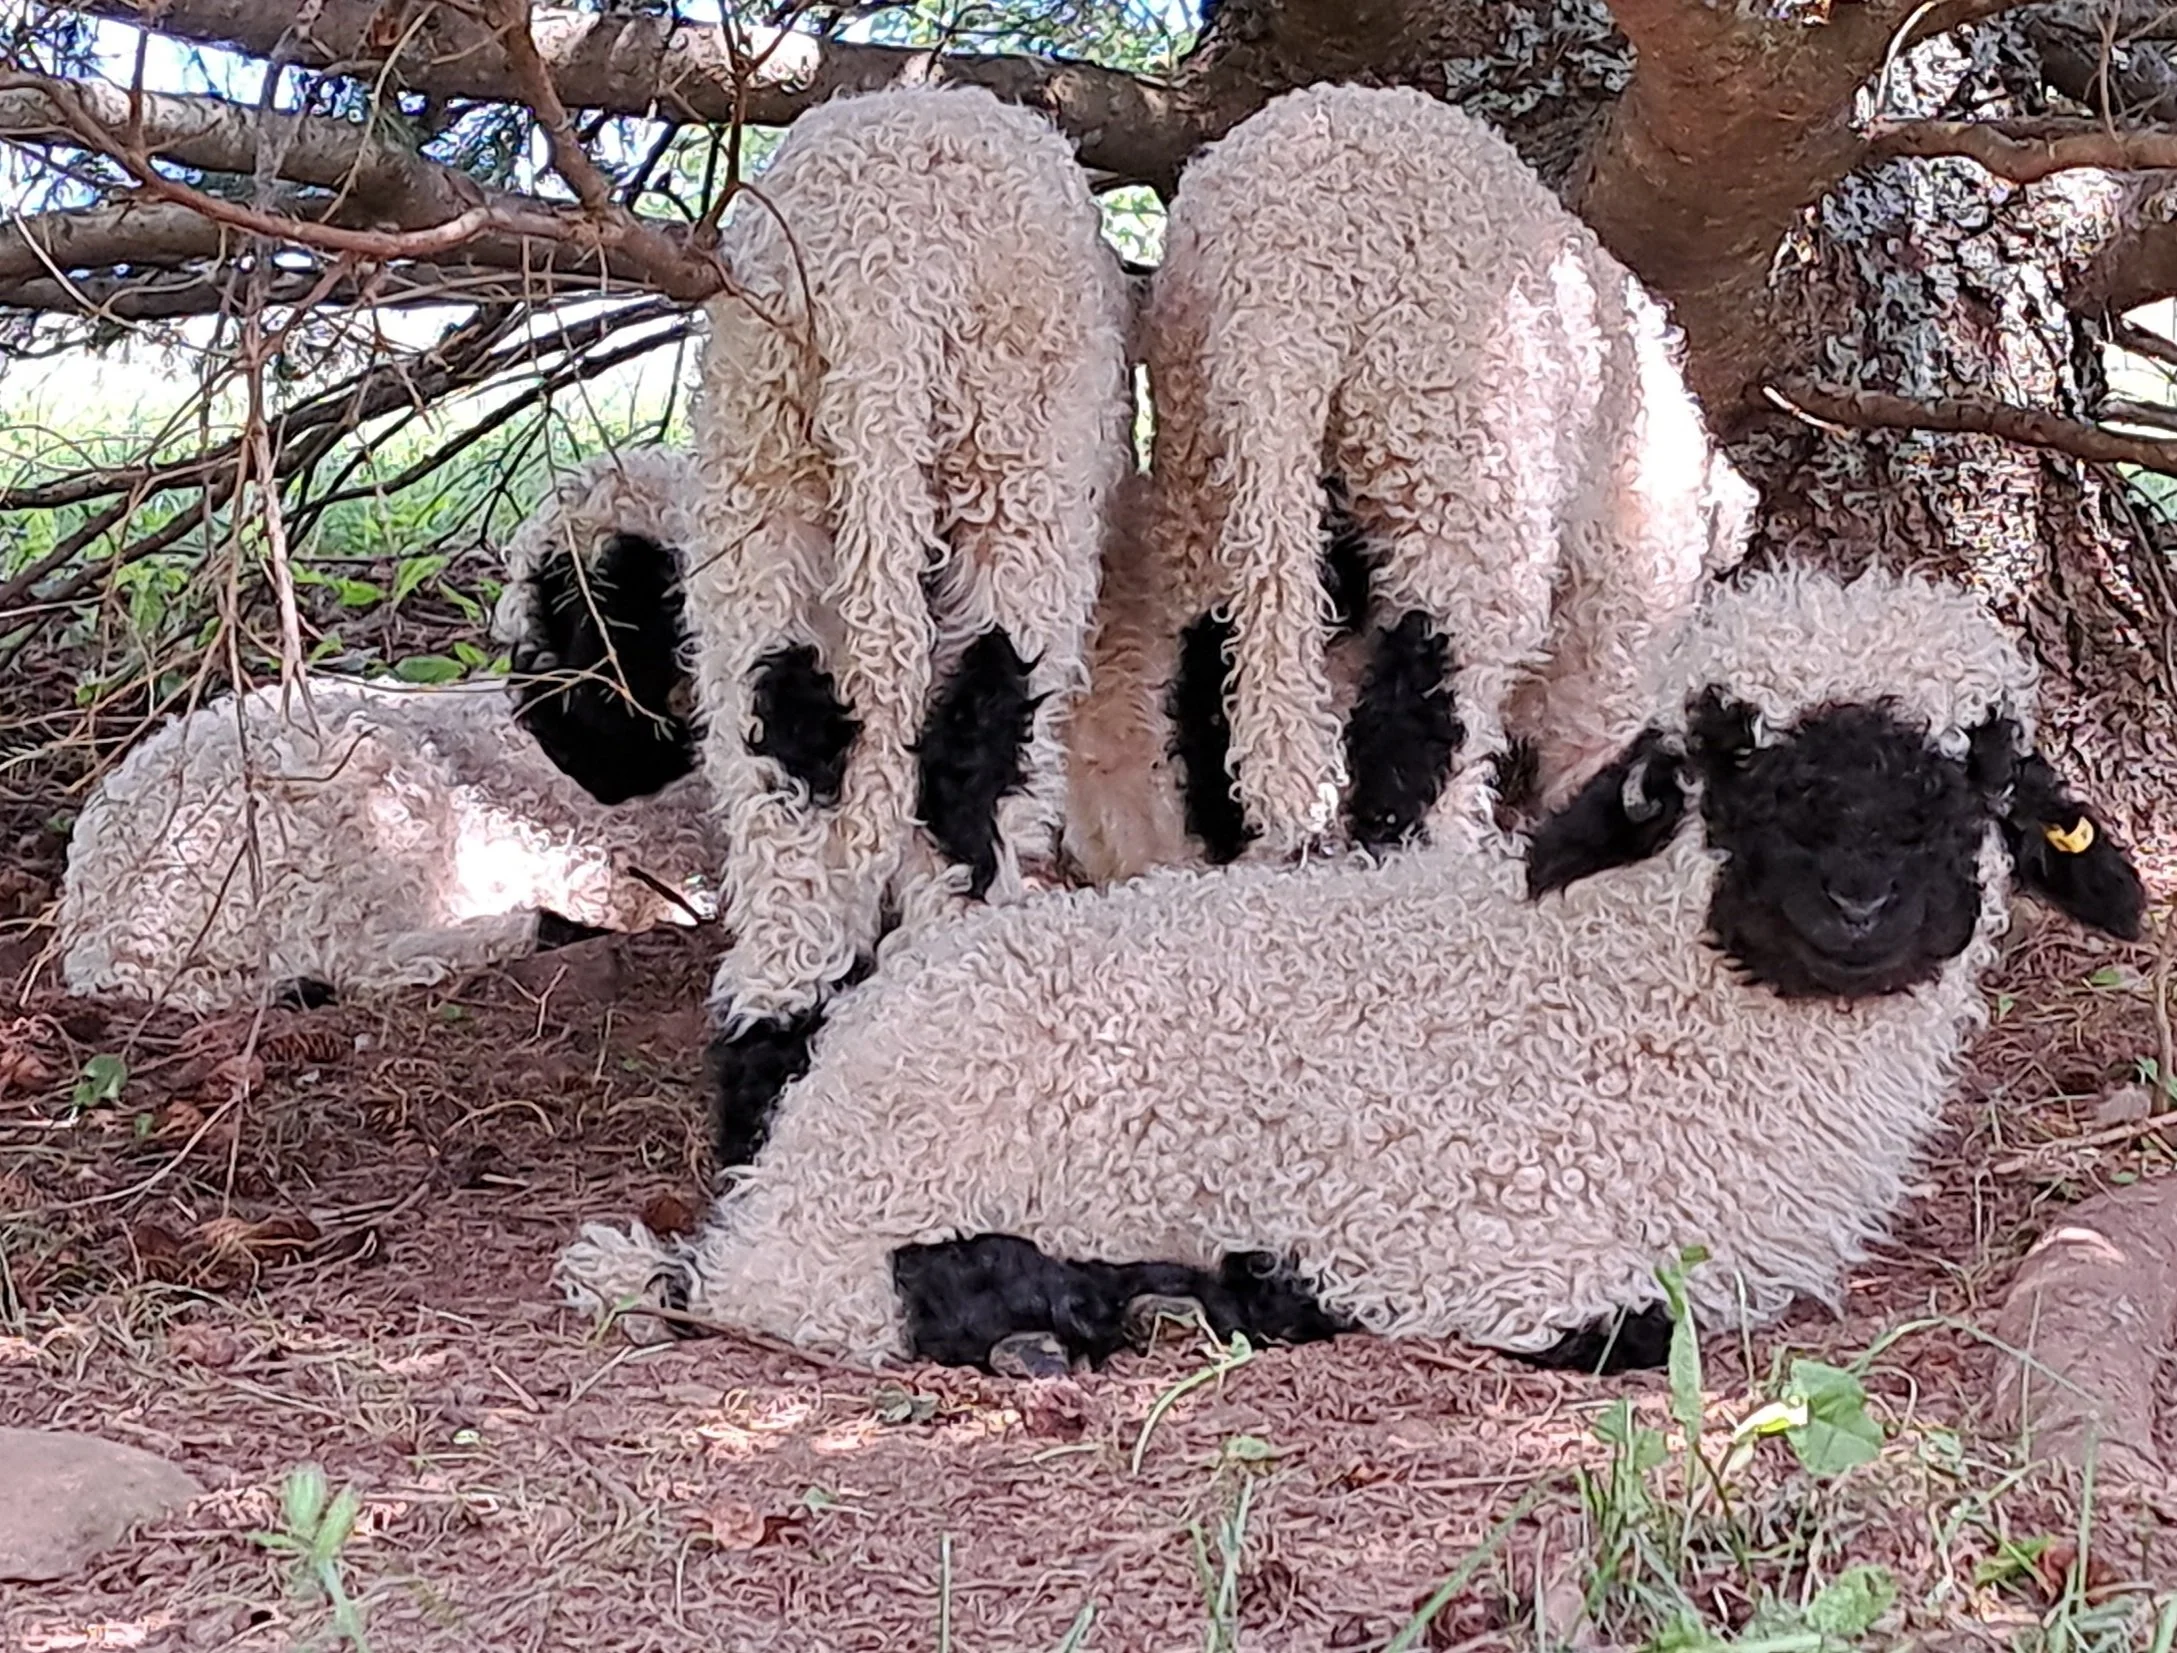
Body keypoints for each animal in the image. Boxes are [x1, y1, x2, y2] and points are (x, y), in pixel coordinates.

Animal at [498, 87, 1135, 1169]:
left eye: (568, 623)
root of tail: (884, 278)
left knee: (817, 782)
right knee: (957, 762)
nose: (550, 737)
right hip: (989, 461)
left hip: (789, 465)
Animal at [553, 564, 2145, 1377]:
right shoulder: (1455, 1222)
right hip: (898, 1171)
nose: (1860, 900)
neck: (1628, 994)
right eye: (1721, 759)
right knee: (801, 1288)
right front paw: (1280, 1285)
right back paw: (1091, 1308)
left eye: (1981, 769)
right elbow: (1625, 1322)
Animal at [1138, 82, 1757, 870]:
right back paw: (1431, 838)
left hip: (1210, 453)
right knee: (1440, 658)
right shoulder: (1626, 575)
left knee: (1213, 654)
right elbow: (1591, 705)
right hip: (1456, 451)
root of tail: (1288, 263)